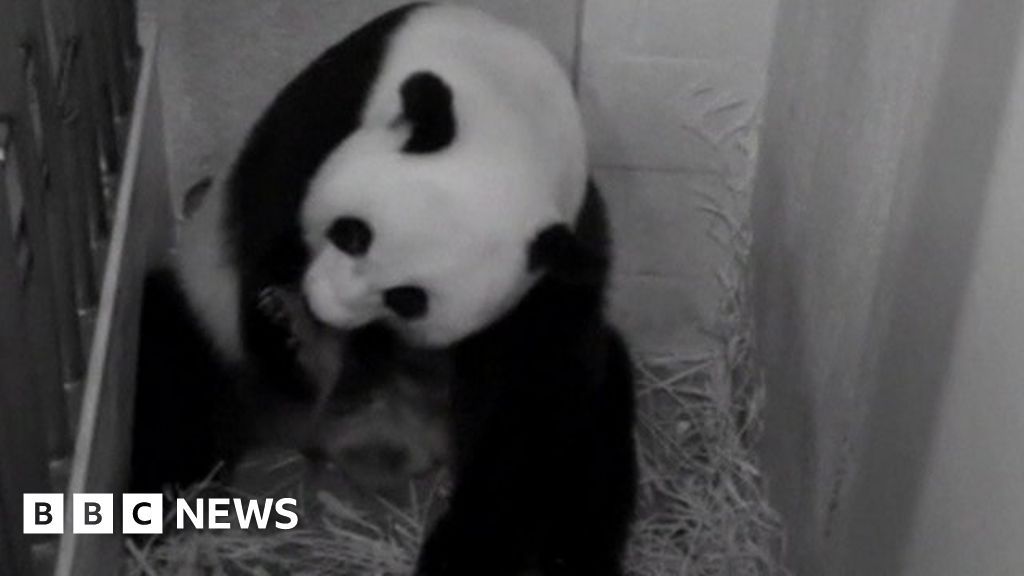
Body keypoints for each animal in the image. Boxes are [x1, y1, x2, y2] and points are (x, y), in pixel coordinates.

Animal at [134, 2, 636, 574]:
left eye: (408, 299)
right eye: (353, 233)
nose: (323, 307)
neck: (508, 111)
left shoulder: (557, 260)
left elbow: (531, 401)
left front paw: (468, 549)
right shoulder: (318, 124)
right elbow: (267, 244)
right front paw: (289, 334)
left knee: (593, 439)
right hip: (202, 321)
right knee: (171, 373)